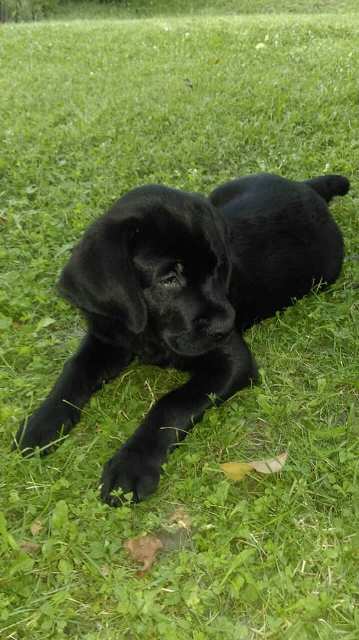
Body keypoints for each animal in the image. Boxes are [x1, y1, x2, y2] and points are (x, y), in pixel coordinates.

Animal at [15, 172, 350, 502]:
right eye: (169, 278)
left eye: (218, 268)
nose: (226, 324)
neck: (149, 333)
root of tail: (305, 187)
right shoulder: (107, 336)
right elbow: (74, 370)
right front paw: (41, 423)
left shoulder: (233, 361)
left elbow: (171, 403)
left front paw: (132, 464)